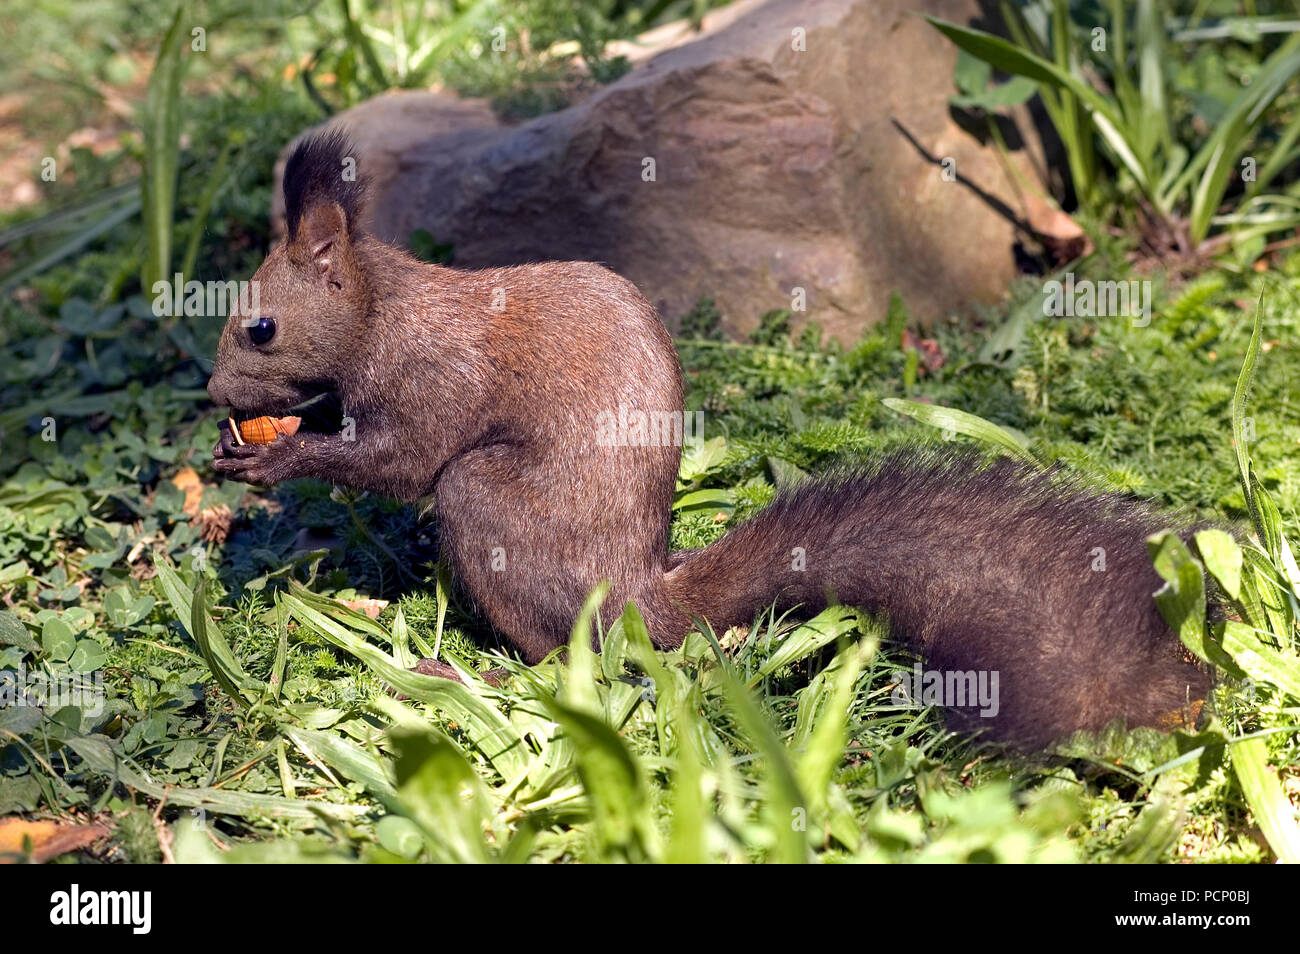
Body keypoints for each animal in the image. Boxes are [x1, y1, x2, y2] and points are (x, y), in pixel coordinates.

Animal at [207, 131, 1211, 750]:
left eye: (260, 328)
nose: (215, 393)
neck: (385, 309)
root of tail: (637, 592)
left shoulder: (432, 384)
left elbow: (400, 462)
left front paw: (275, 456)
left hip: (487, 504)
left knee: (567, 651)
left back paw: (473, 671)